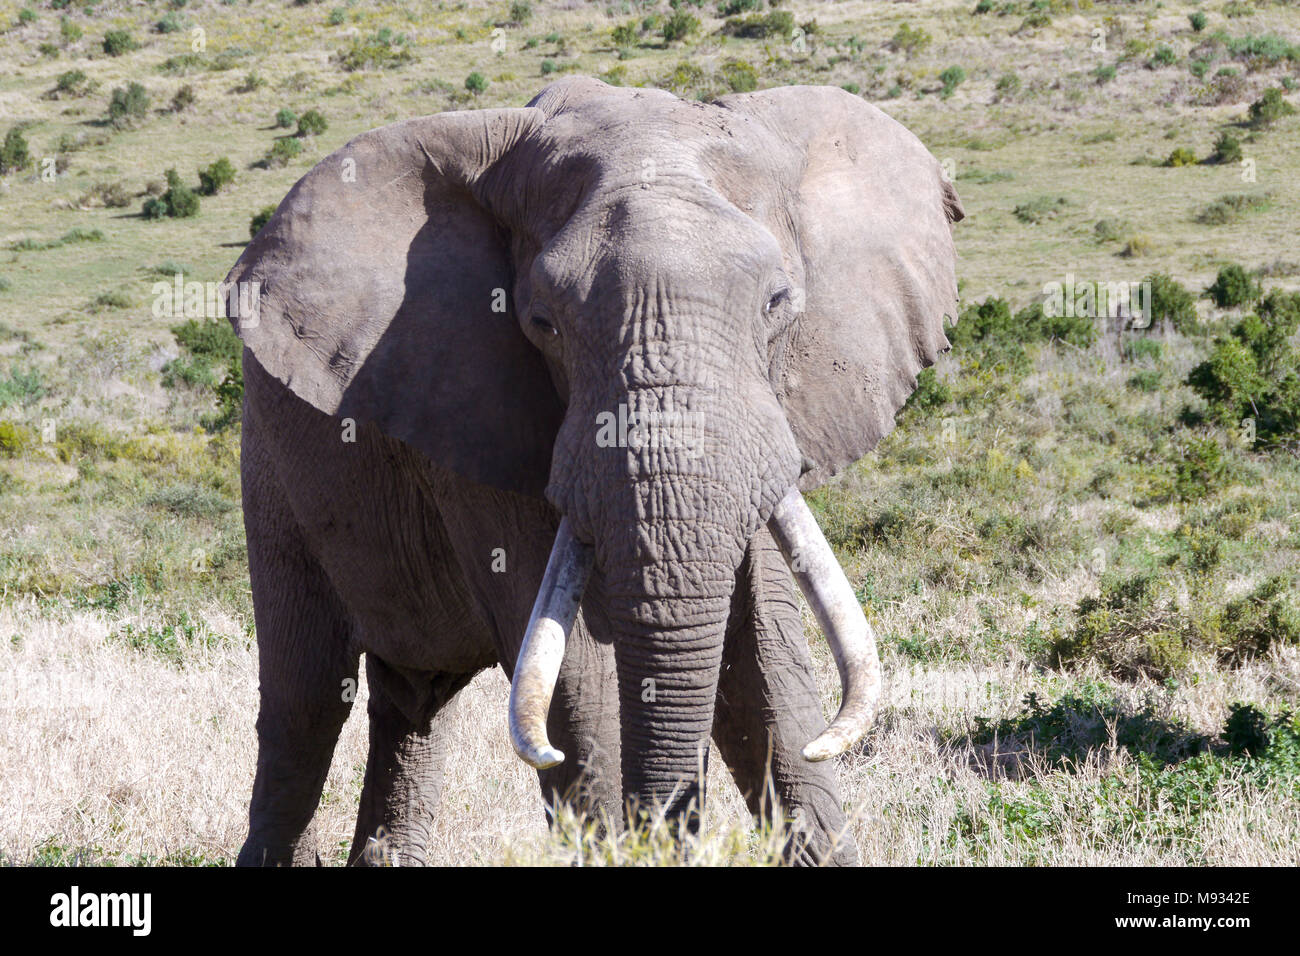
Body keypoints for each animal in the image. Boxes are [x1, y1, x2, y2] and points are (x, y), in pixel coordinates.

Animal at [224, 77, 962, 867]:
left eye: (778, 303)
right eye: (543, 323)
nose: (674, 821)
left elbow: (762, 650)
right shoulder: (475, 415)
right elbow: (575, 670)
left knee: (418, 697)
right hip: (269, 457)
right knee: (306, 697)